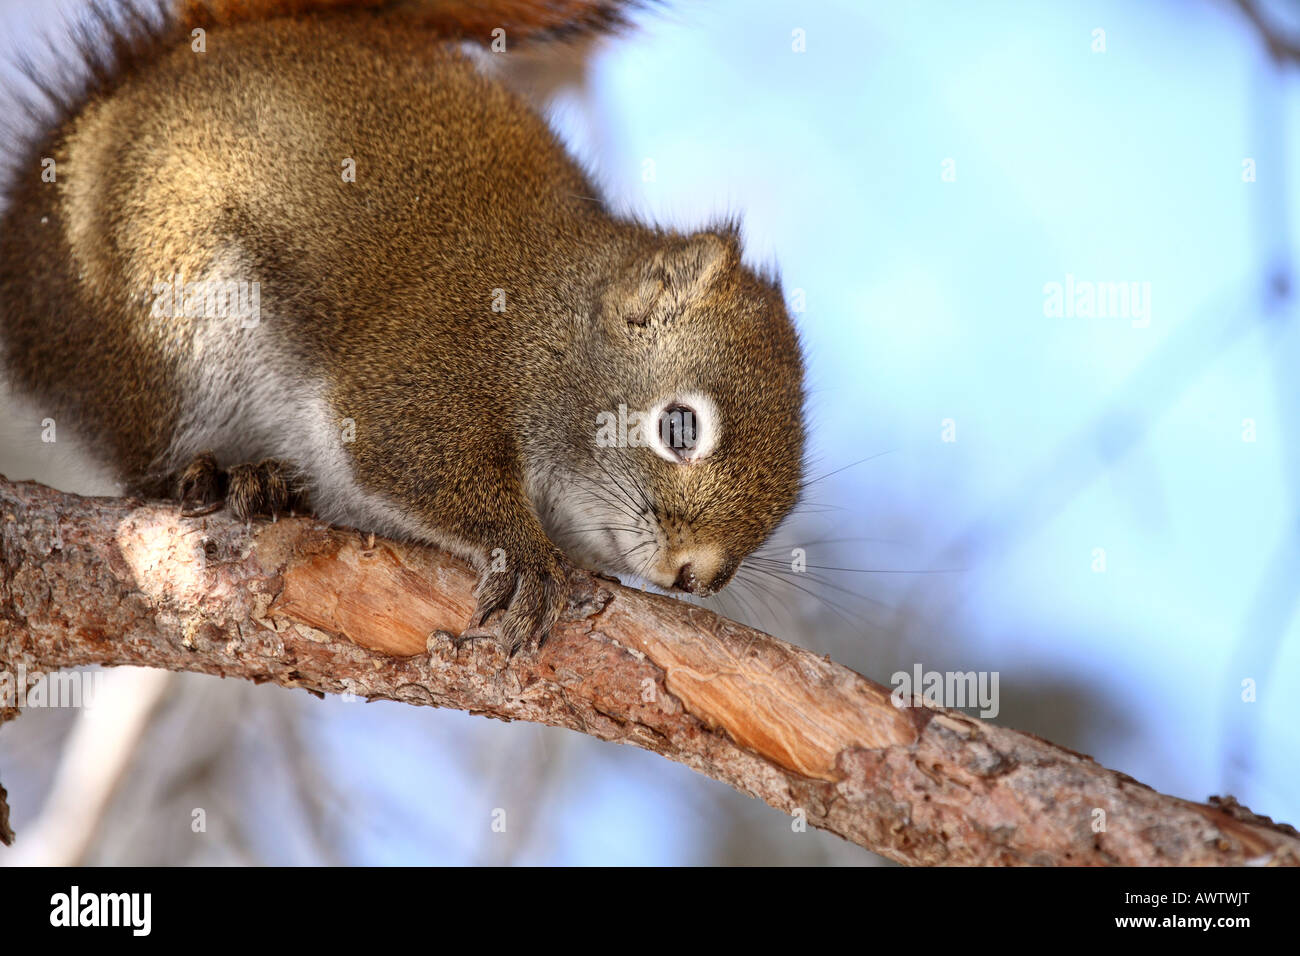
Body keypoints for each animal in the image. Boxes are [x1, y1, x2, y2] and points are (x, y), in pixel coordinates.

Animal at [0, 0, 808, 651]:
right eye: (680, 427)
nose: (697, 576)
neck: (550, 323)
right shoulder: (432, 355)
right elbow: (405, 452)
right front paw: (526, 555)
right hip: (174, 309)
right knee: (146, 465)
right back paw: (227, 476)